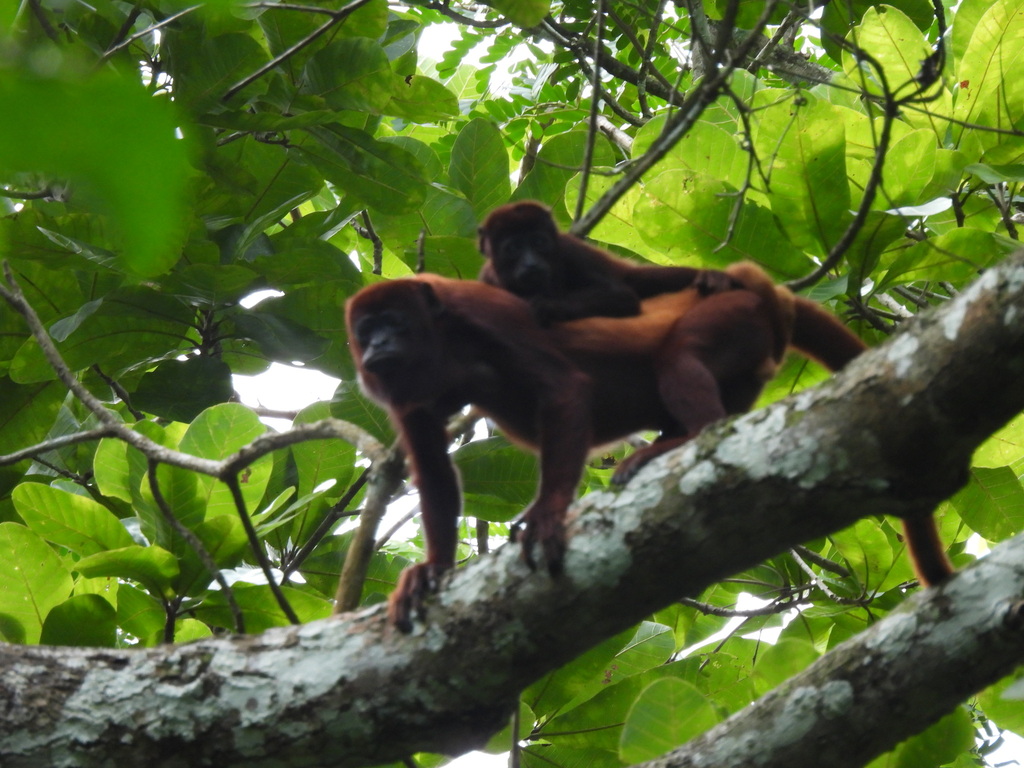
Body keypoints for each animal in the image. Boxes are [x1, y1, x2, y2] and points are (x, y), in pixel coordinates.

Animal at [478, 200, 742, 325]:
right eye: (513, 249)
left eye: (539, 242)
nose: (531, 263)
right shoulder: (487, 279)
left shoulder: (571, 252)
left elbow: (620, 297)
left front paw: (545, 305)